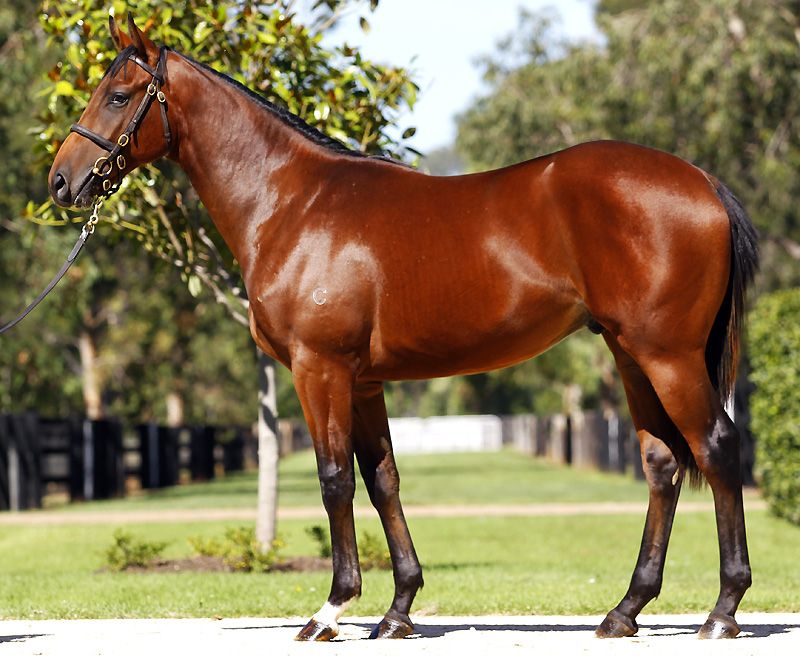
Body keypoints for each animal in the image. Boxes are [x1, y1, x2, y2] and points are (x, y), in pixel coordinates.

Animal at [49, 15, 758, 642]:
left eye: (118, 95)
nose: (61, 182)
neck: (293, 202)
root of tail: (703, 182)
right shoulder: (364, 382)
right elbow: (381, 479)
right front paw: (397, 611)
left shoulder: (319, 370)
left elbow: (335, 479)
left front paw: (331, 610)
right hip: (629, 352)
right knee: (663, 463)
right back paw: (624, 611)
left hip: (667, 354)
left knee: (717, 447)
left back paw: (722, 611)